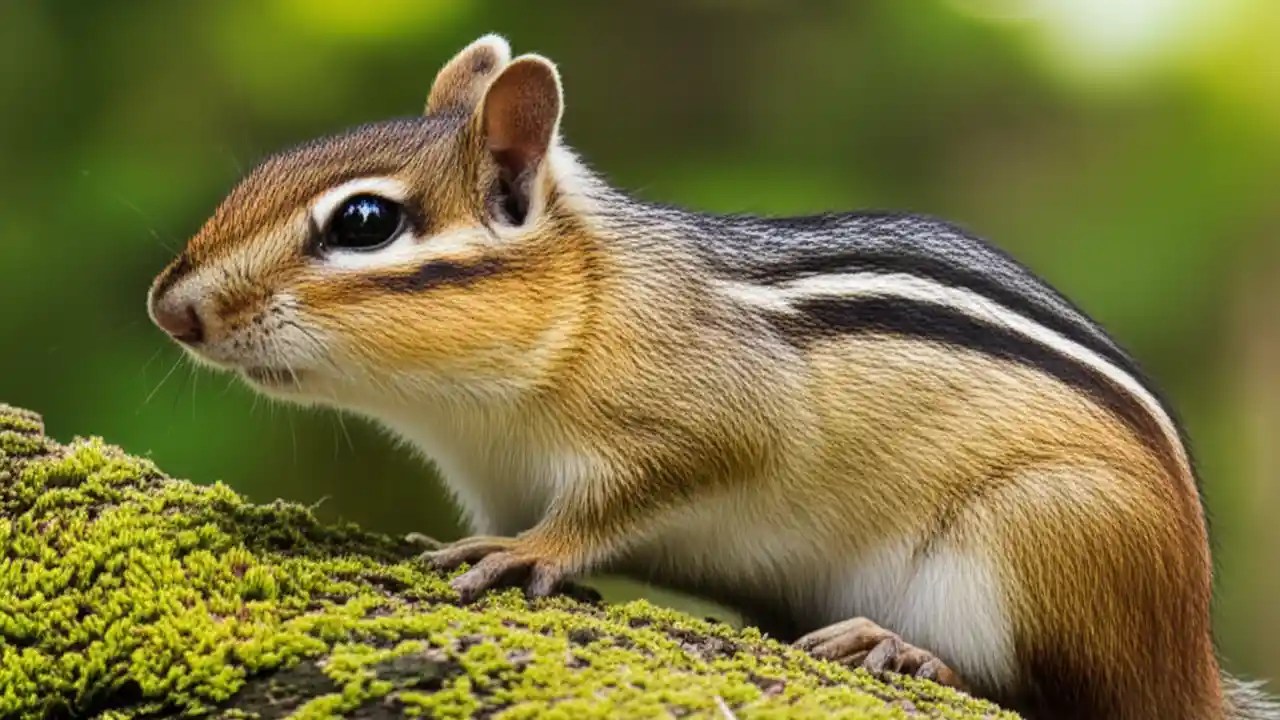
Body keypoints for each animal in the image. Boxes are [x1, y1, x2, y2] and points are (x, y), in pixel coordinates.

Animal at [146, 35, 1277, 719]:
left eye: (365, 221)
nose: (170, 307)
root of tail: (1187, 655)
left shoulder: (710, 417)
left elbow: (627, 496)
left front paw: (527, 552)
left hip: (1041, 540)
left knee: (1054, 692)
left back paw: (901, 650)